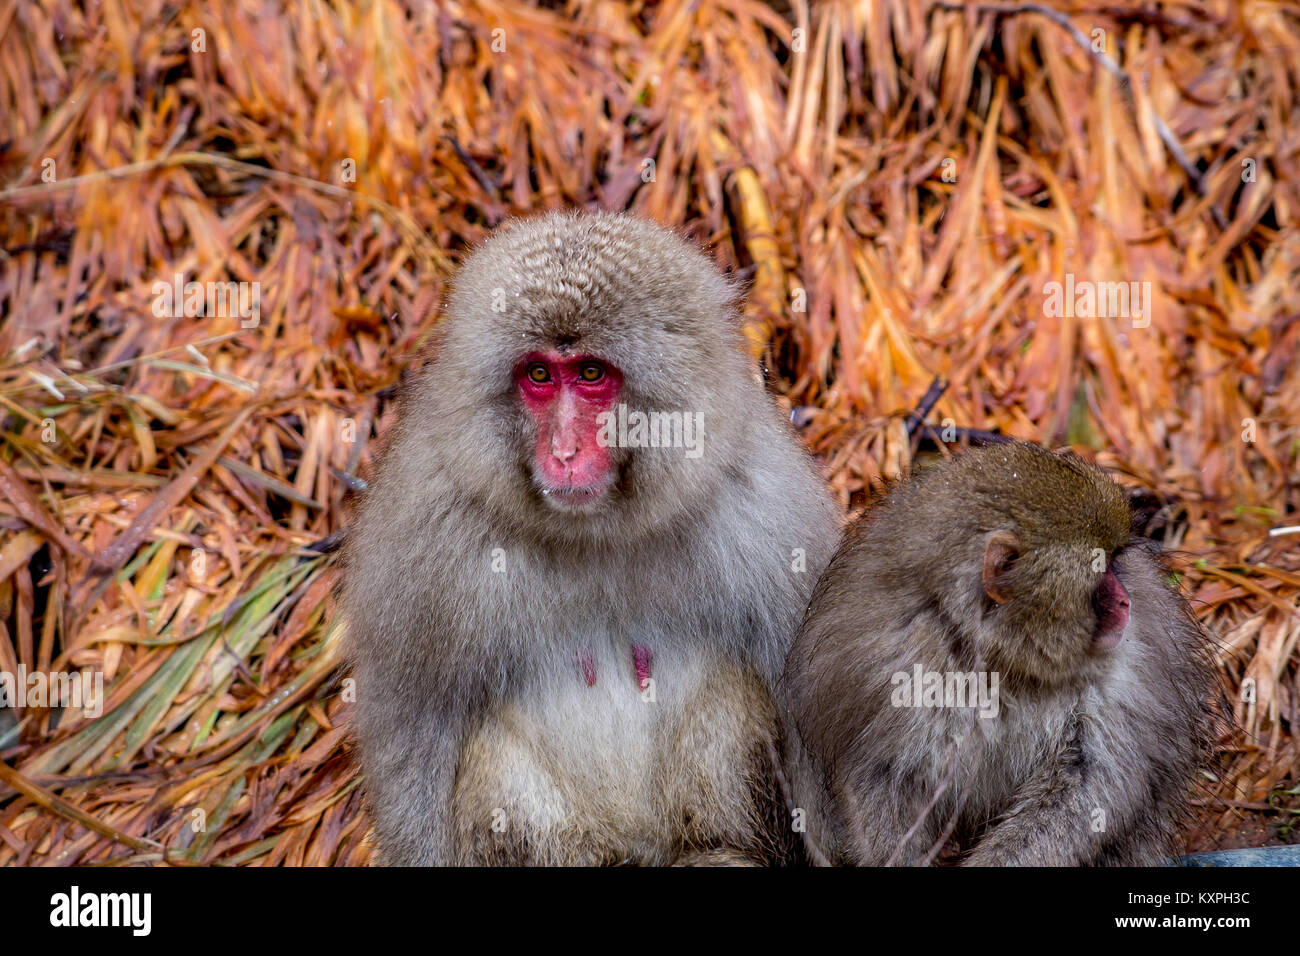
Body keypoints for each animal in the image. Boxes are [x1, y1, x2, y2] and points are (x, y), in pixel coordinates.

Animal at [341, 211, 840, 866]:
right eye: (538, 375)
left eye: (591, 374)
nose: (564, 452)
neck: (596, 532)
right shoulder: (423, 536)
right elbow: (412, 727)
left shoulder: (771, 517)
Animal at [781, 441, 1219, 866]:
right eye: (1101, 574)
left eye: (1114, 564)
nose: (1126, 603)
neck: (1002, 662)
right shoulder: (897, 666)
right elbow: (878, 774)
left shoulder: (1118, 678)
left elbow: (1087, 786)